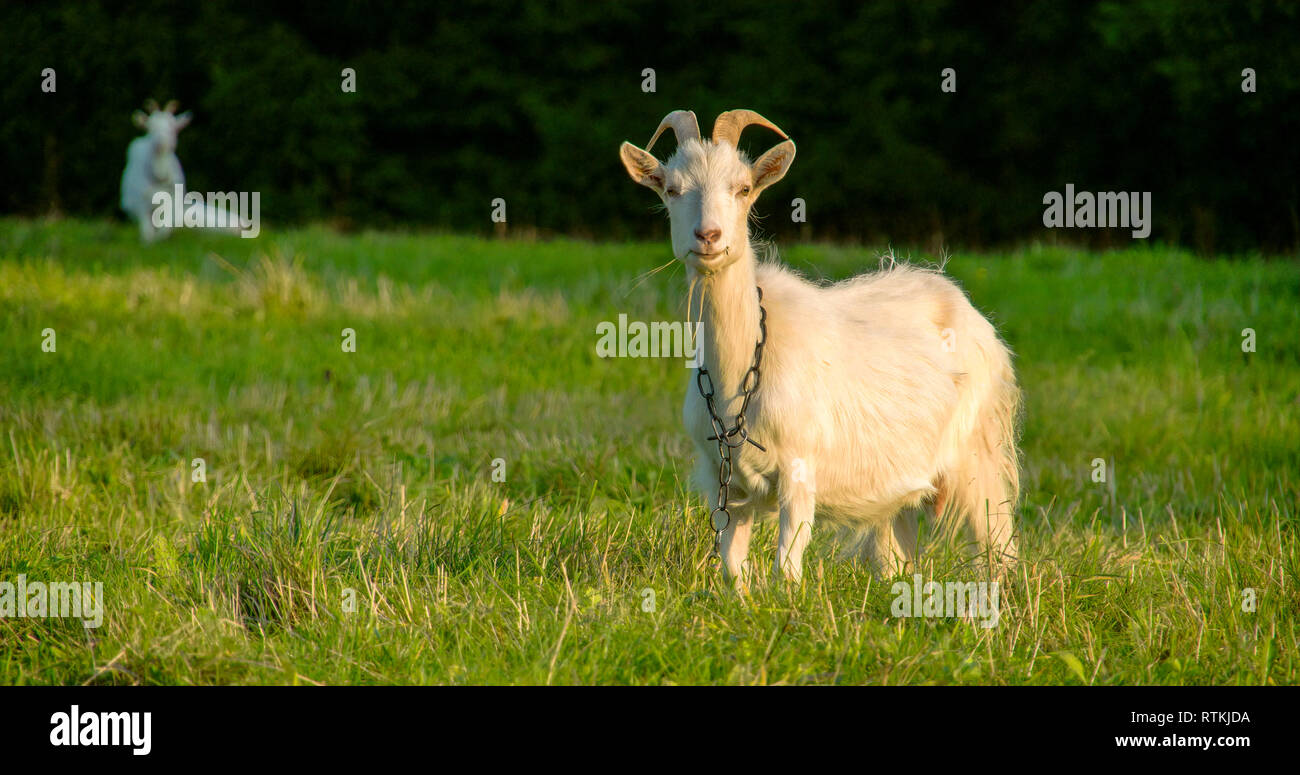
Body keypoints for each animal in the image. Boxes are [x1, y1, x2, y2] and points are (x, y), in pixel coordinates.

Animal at [619, 109, 1021, 586]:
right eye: (672, 189)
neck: (740, 371)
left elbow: (787, 566)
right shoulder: (729, 484)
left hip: (977, 452)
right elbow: (732, 568)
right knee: (899, 550)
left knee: (997, 540)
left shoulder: (799, 472)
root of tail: (962, 304)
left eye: (743, 188)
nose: (709, 235)